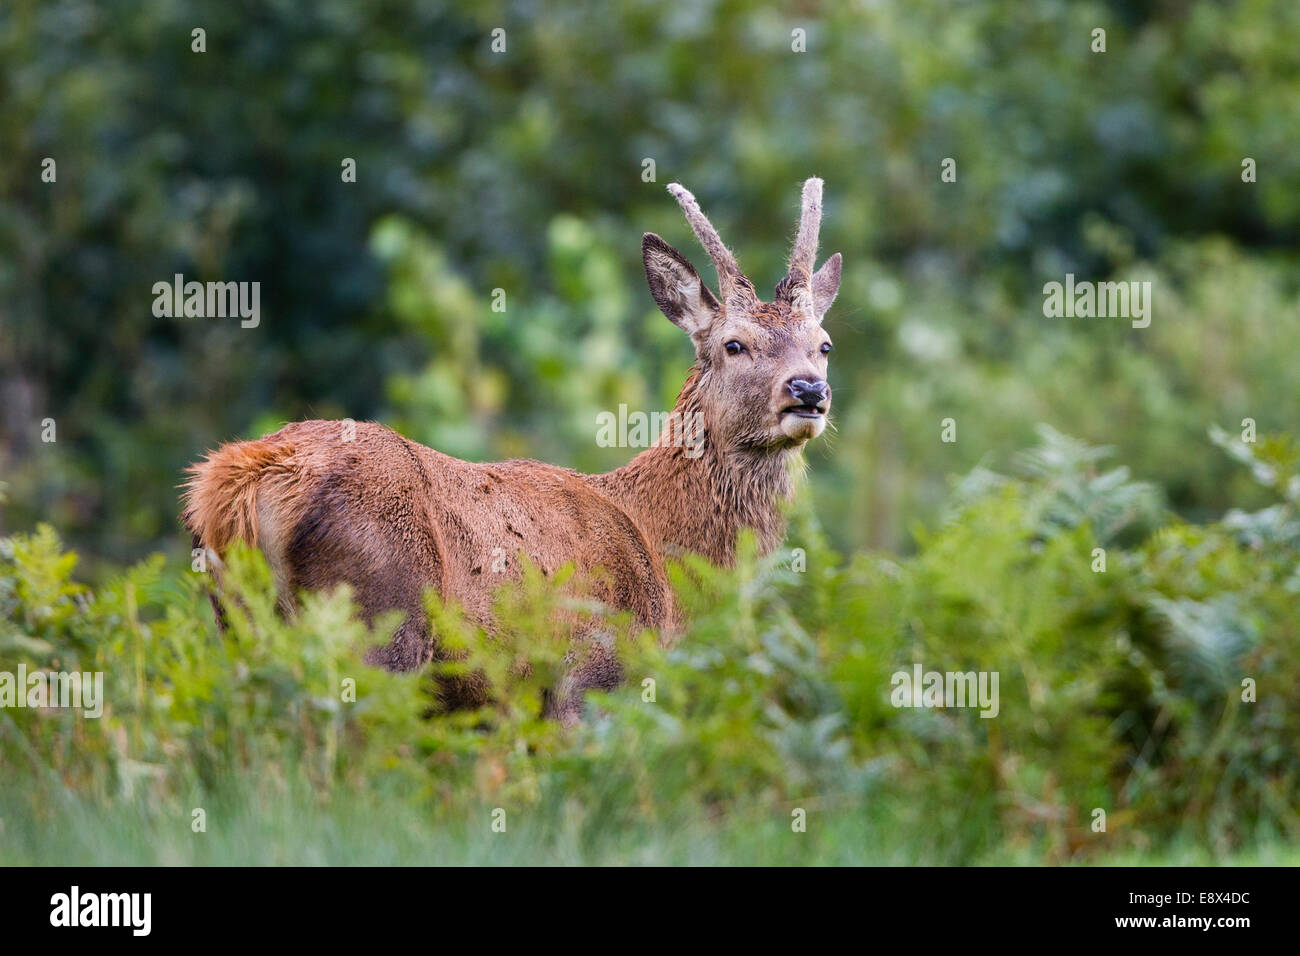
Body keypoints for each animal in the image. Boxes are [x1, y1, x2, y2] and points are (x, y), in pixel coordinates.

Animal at [182, 178, 842, 721]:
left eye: (825, 344)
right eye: (734, 344)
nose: (809, 390)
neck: (663, 557)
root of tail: (236, 481)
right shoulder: (594, 675)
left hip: (237, 621)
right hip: (379, 617)